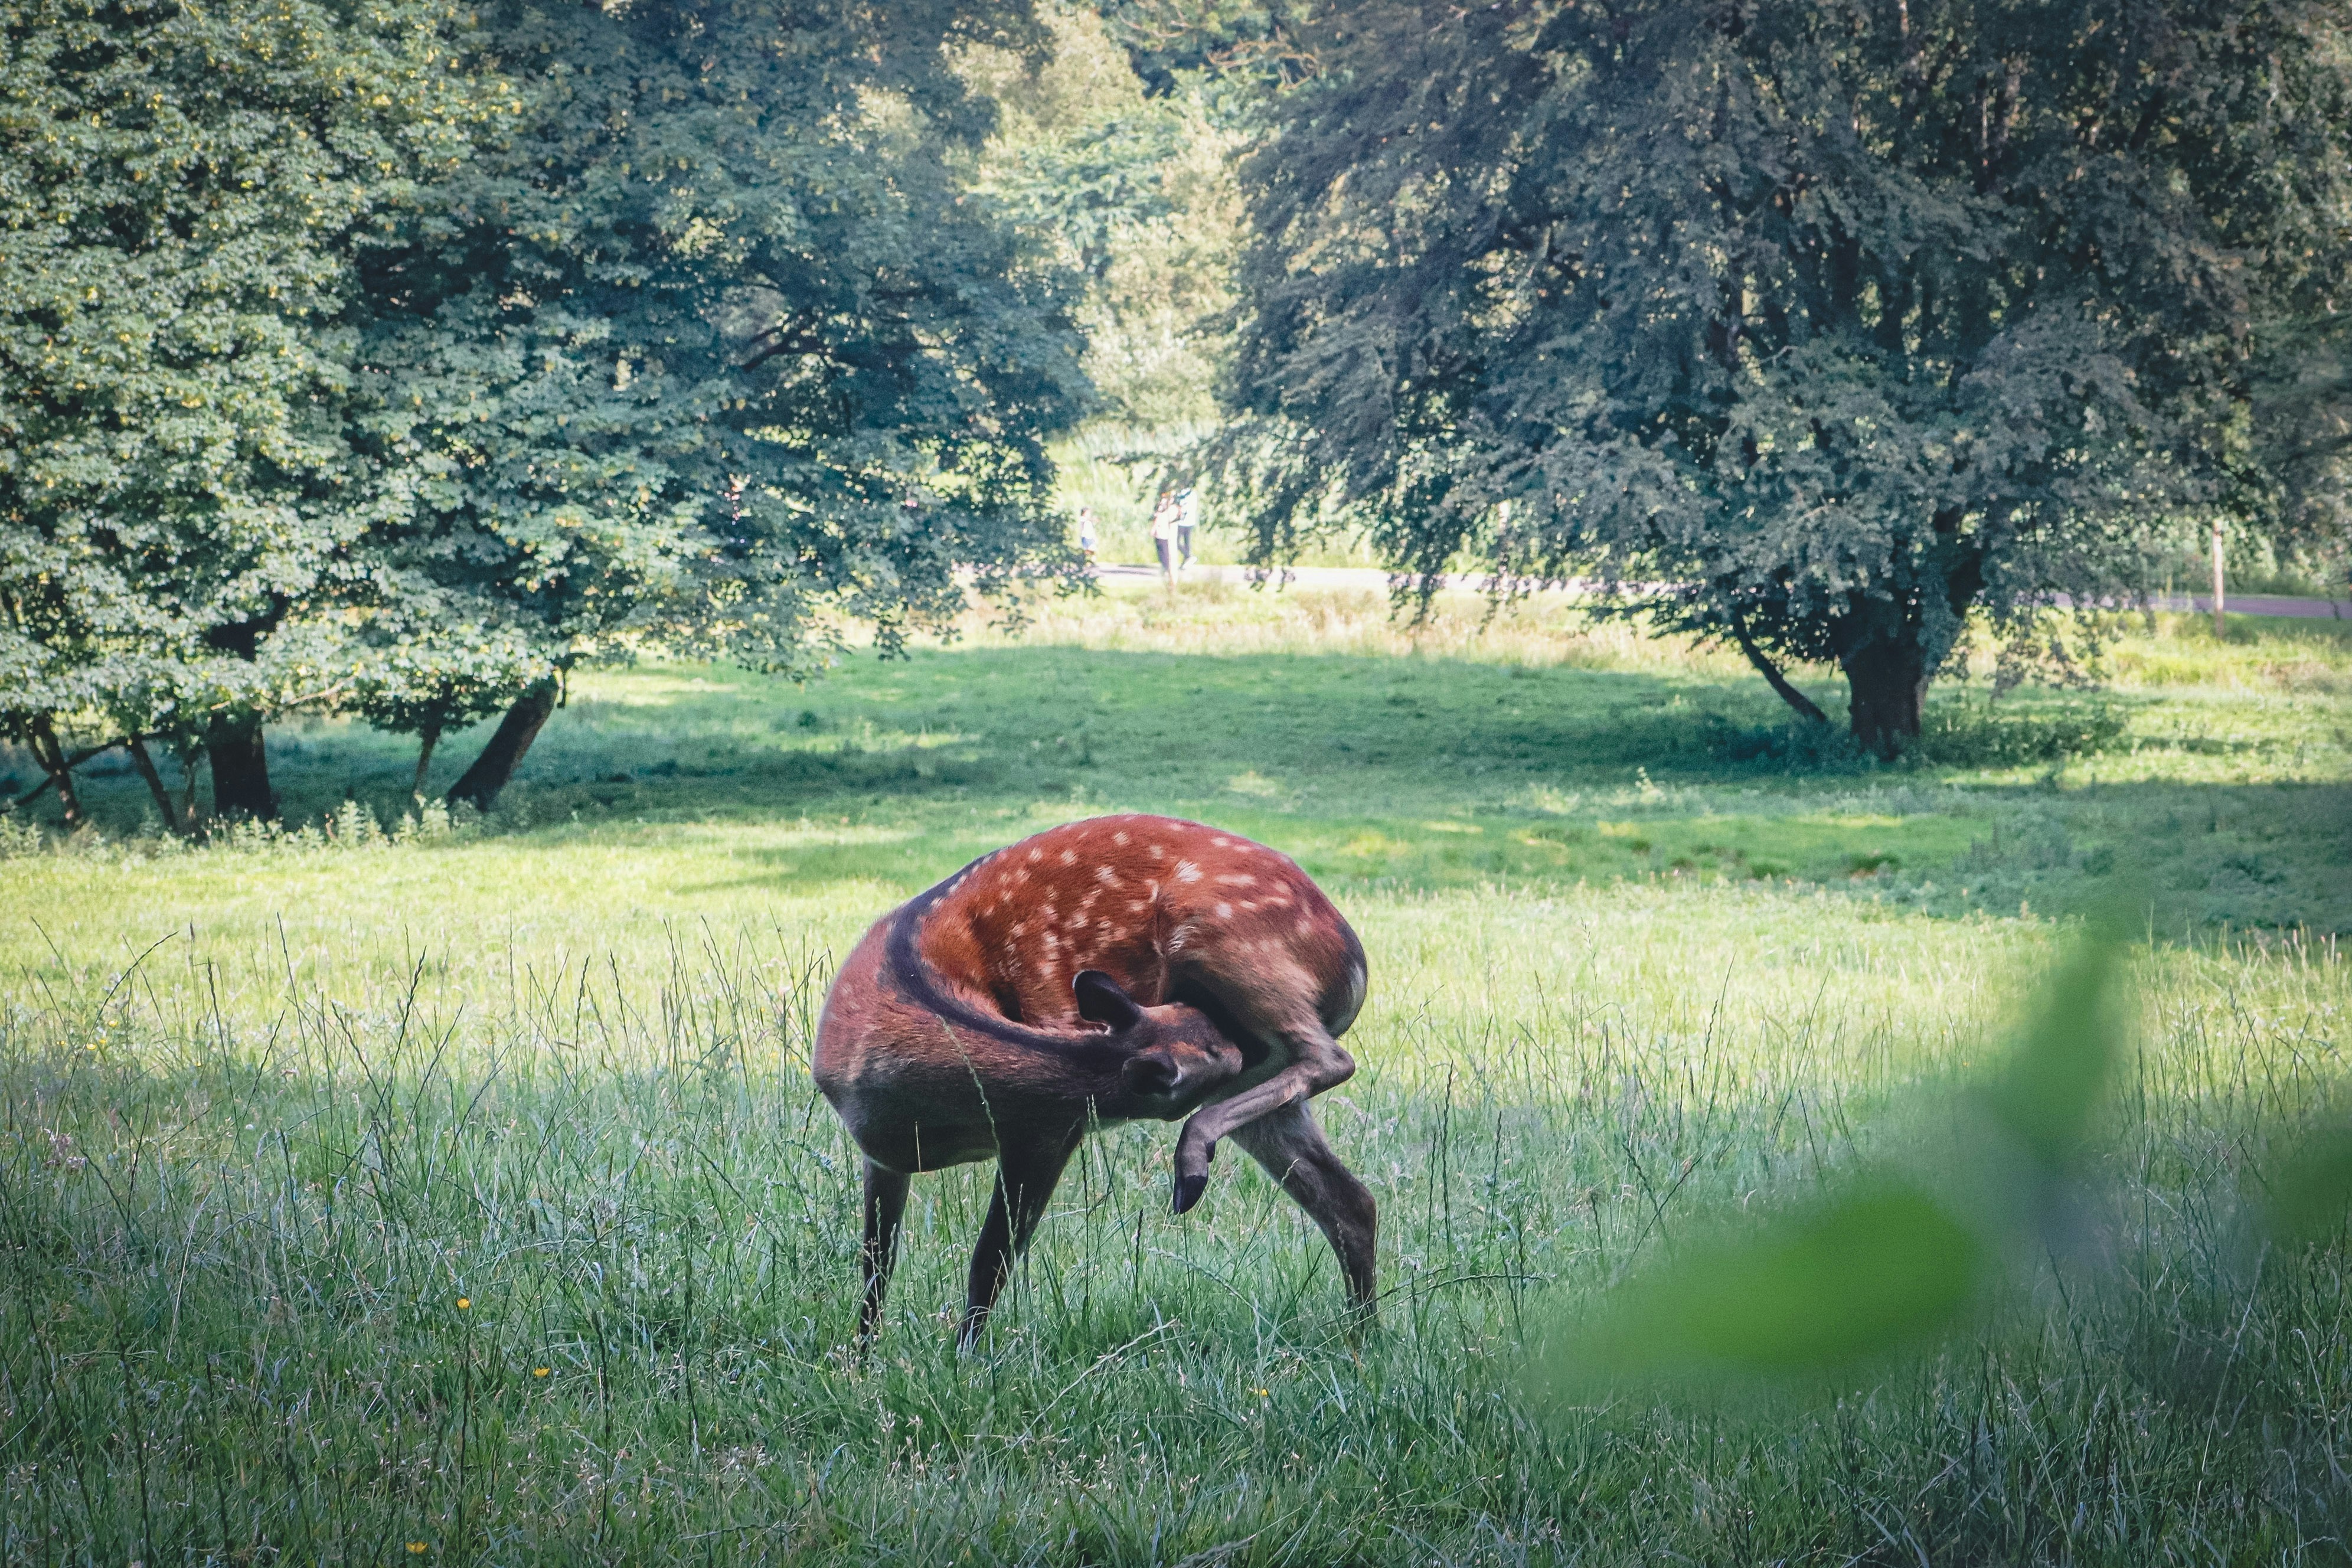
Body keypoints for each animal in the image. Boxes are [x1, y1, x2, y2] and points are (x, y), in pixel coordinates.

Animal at [814, 813, 1375, 1348]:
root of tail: (1355, 965)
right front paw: (862, 1359)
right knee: (1352, 1201)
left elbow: (990, 1262)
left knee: (1331, 1060)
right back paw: (1361, 1337)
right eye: (1212, 1040)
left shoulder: (1047, 1133)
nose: (1239, 1046)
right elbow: (876, 1265)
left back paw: (1193, 1163)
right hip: (1257, 1072)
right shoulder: (883, 1156)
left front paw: (964, 1361)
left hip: (1224, 937)